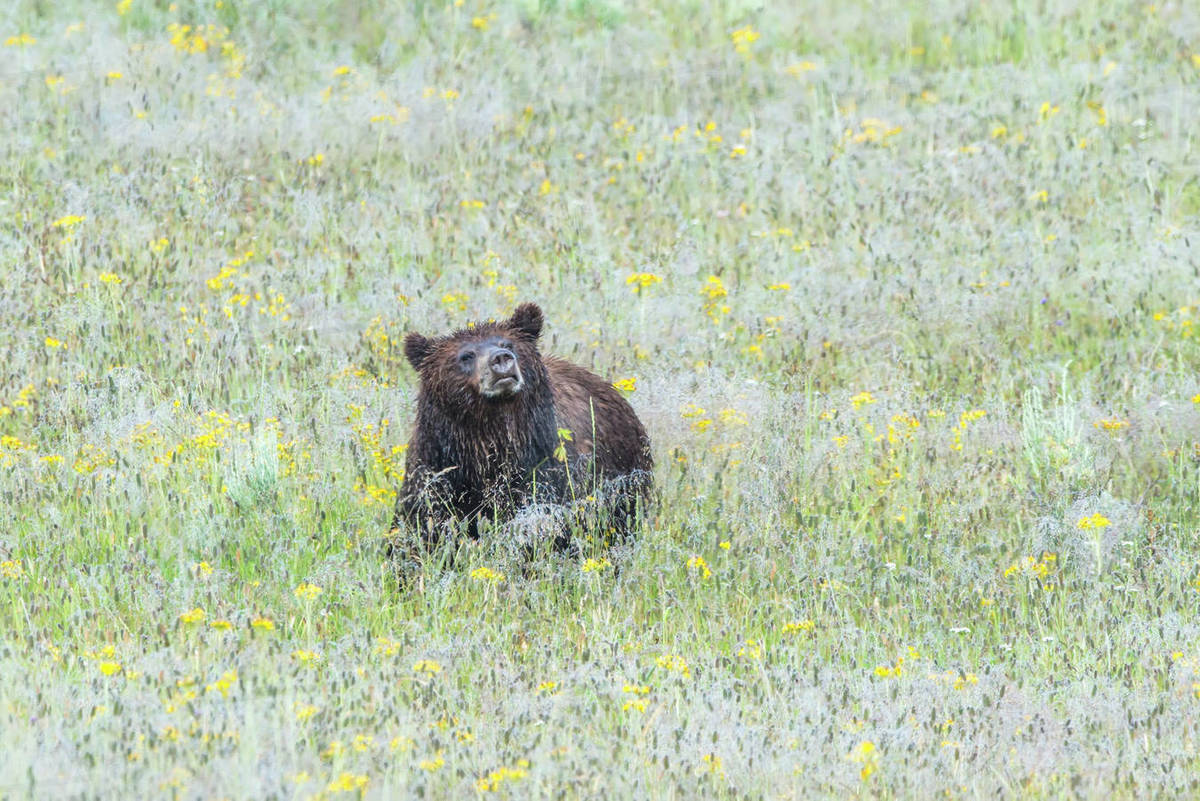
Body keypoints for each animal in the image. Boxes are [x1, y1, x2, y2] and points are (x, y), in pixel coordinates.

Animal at [392, 302, 652, 552]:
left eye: (507, 343)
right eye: (466, 355)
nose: (501, 358)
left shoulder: (546, 469)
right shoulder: (436, 467)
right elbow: (423, 524)